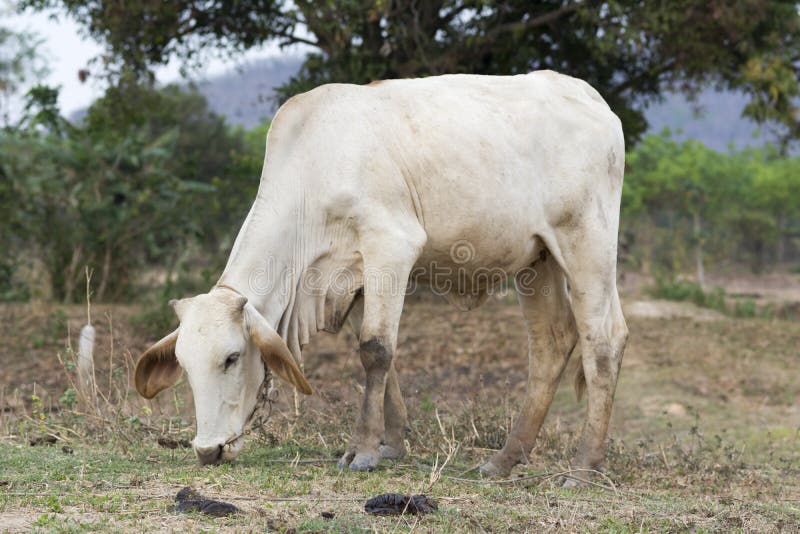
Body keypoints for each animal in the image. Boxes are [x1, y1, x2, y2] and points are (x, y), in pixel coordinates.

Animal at [134, 70, 628, 483]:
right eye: (184, 365)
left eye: (232, 358)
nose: (207, 450)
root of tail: (591, 97)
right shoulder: (351, 281)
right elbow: (380, 358)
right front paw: (391, 443)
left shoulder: (391, 247)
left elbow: (375, 350)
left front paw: (363, 452)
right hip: (537, 260)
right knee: (551, 343)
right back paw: (504, 459)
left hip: (587, 244)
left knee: (603, 341)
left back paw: (584, 468)